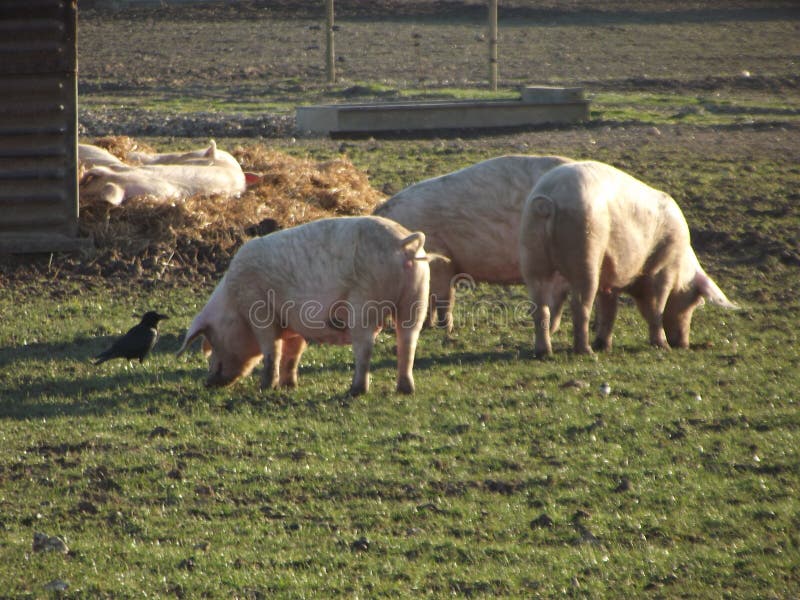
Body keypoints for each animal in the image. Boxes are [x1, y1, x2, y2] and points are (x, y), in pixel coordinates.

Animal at [176, 216, 439, 396]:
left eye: (211, 339)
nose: (208, 382)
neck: (234, 303)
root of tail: (403, 244)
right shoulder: (293, 322)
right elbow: (293, 353)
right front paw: (289, 386)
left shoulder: (260, 311)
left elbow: (272, 350)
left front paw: (266, 387)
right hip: (416, 296)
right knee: (408, 341)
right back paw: (405, 389)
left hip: (364, 302)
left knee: (365, 347)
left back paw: (355, 390)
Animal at [519, 160, 738, 357]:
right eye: (695, 301)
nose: (683, 345)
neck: (681, 267)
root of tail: (547, 200)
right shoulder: (662, 271)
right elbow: (655, 309)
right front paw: (662, 346)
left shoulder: (610, 279)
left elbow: (609, 311)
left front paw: (604, 346)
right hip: (585, 250)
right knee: (580, 305)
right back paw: (586, 352)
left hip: (532, 256)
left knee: (539, 307)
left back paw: (544, 352)